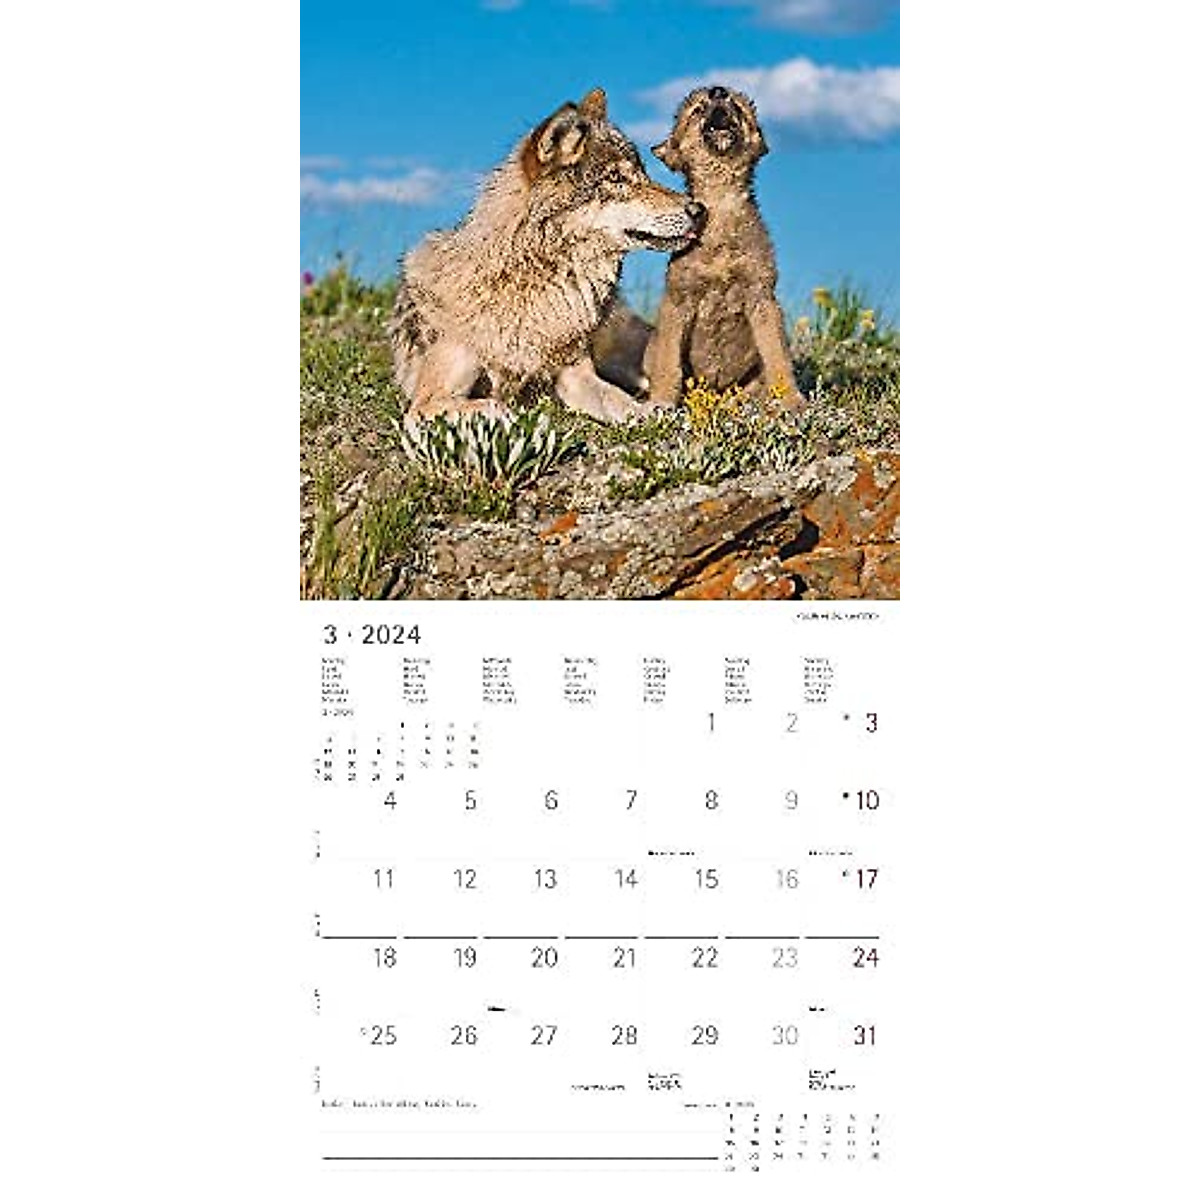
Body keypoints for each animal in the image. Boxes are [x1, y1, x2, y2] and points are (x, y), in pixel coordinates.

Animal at [391, 88, 705, 422]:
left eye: (643, 175)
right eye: (616, 179)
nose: (699, 210)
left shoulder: (577, 376)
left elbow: (624, 403)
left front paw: (657, 413)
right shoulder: (425, 404)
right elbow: (494, 403)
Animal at [643, 85, 802, 409]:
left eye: (737, 105)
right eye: (698, 109)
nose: (719, 91)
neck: (721, 203)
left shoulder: (761, 297)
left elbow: (778, 357)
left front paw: (793, 402)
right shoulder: (678, 300)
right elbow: (668, 363)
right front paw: (660, 402)